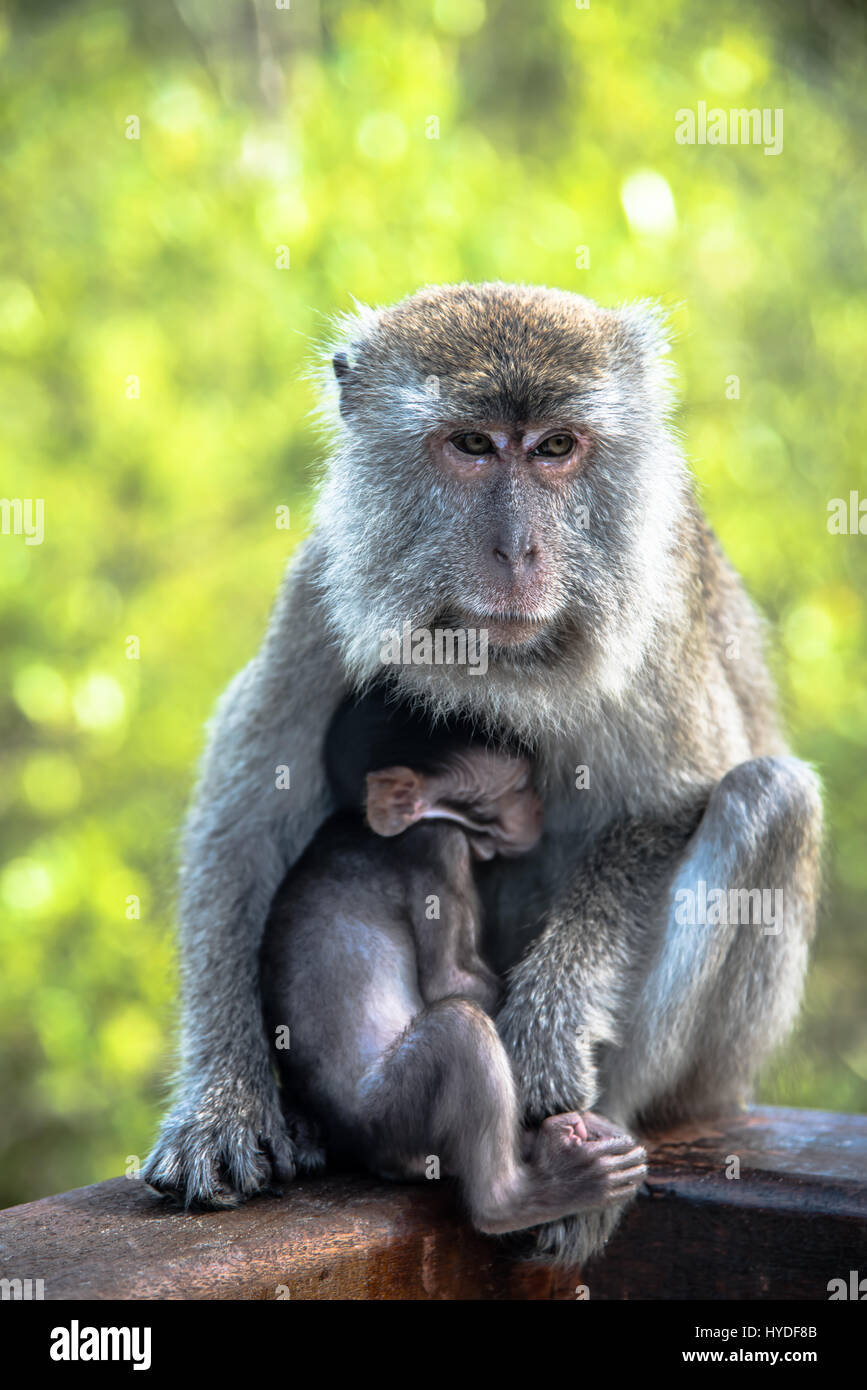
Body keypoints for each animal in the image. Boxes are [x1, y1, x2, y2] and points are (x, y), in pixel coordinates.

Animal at [259, 691, 647, 1233]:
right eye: (517, 787)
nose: (537, 807)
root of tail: (357, 1148)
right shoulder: (438, 847)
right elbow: (449, 982)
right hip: (394, 1119)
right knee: (458, 1030)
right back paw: (527, 1195)